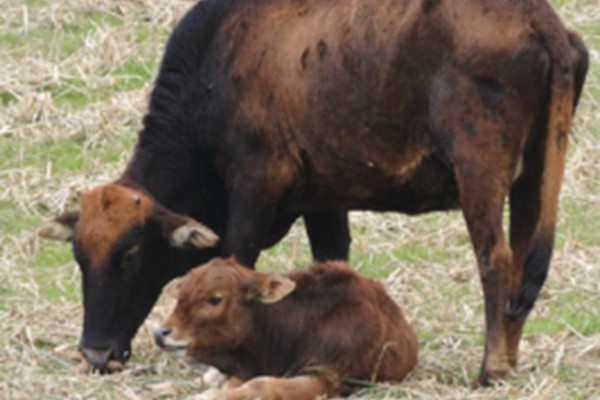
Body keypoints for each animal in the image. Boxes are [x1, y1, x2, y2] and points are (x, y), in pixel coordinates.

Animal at [39, 0, 588, 384]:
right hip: (534, 177)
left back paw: (490, 368)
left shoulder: (255, 186)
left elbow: (237, 257)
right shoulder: (324, 201)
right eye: (79, 258)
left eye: (131, 255)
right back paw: (510, 360)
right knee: (524, 266)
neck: (217, 64)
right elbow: (332, 259)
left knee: (495, 259)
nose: (96, 353)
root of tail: (540, 20)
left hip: (480, 171)